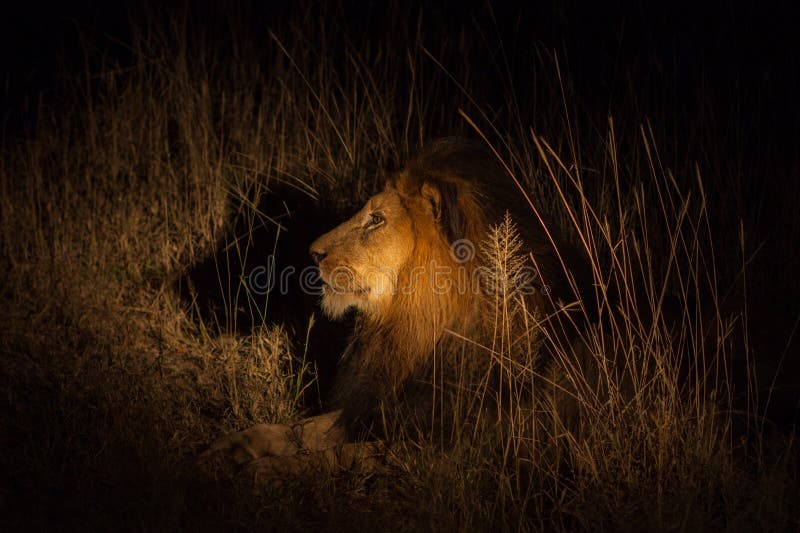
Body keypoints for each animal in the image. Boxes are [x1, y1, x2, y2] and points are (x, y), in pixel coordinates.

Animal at [203, 138, 592, 475]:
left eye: (376, 220)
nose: (313, 253)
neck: (412, 327)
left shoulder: (451, 450)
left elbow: (333, 457)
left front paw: (263, 472)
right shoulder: (377, 404)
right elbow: (294, 429)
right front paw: (228, 449)